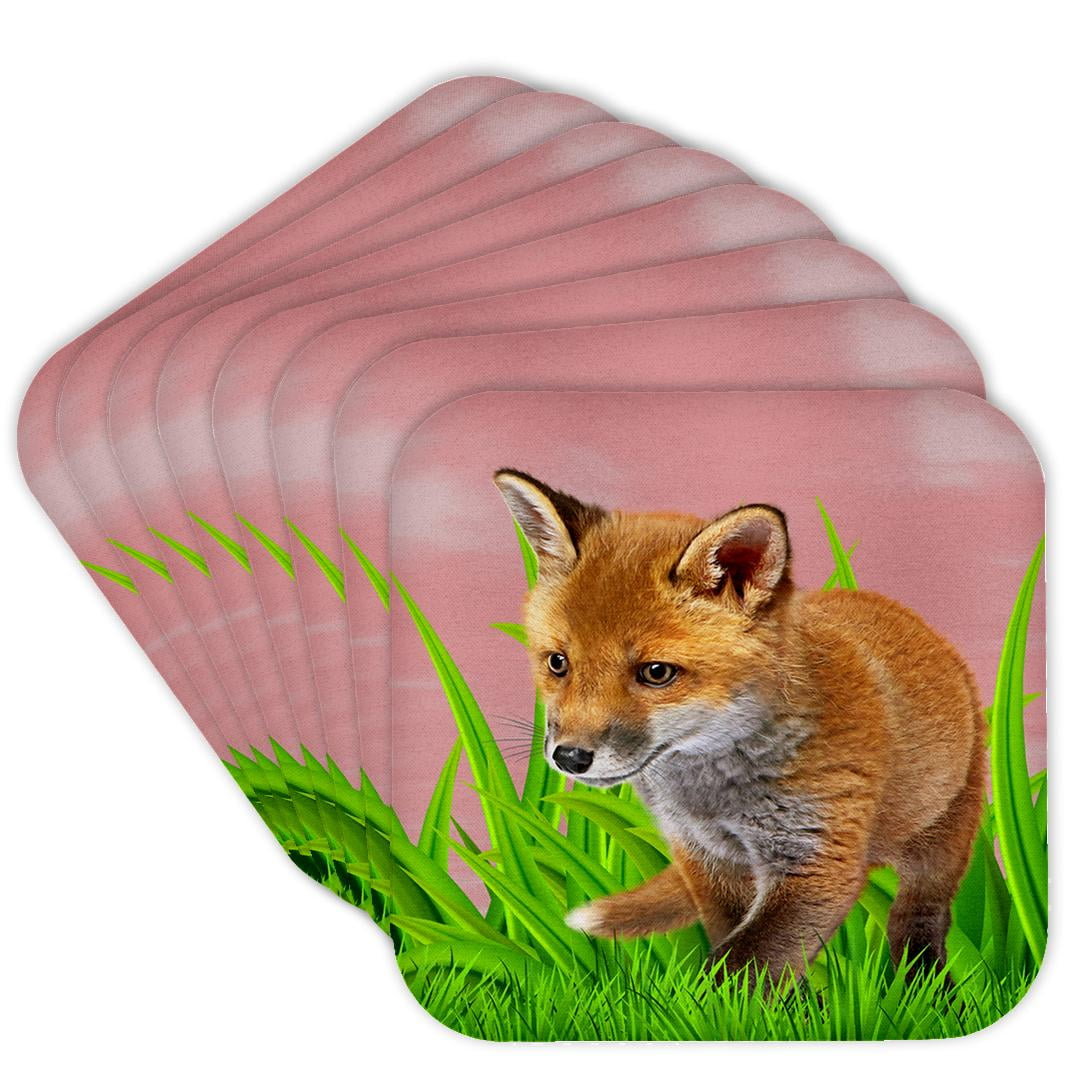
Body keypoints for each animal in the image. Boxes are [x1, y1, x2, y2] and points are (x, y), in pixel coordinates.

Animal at [493, 469, 985, 985]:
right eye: (558, 663)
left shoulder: (817, 858)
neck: (716, 793)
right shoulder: (708, 857)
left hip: (942, 836)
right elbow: (740, 949)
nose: (569, 757)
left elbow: (742, 963)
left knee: (920, 916)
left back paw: (927, 984)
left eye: (656, 672)